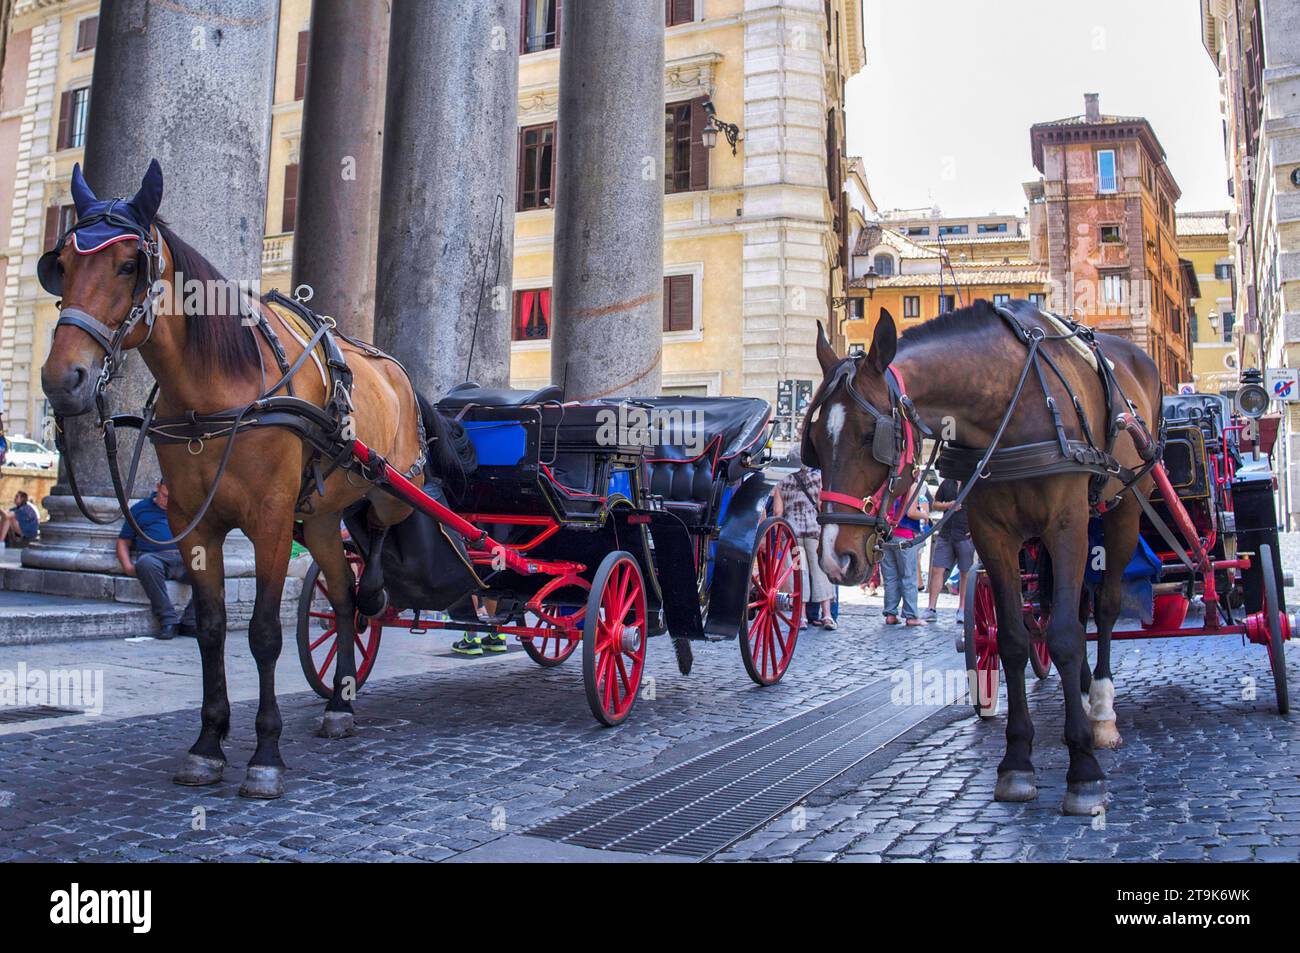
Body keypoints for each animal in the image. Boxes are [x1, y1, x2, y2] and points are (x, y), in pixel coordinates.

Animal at [38, 160, 458, 799]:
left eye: (129, 265)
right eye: (60, 264)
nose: (64, 378)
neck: (217, 392)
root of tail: (398, 372)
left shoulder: (270, 522)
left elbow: (262, 633)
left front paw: (265, 754)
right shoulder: (193, 524)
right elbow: (212, 630)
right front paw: (208, 744)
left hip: (388, 488)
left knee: (375, 551)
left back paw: (373, 595)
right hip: (321, 518)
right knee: (340, 599)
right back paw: (340, 702)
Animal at [803, 301, 1162, 815]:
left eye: (873, 435)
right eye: (813, 438)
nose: (836, 558)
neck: (1012, 406)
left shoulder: (1067, 522)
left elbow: (1065, 638)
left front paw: (1083, 770)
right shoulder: (991, 533)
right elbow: (1013, 640)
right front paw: (1016, 763)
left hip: (1125, 507)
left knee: (1106, 607)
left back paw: (1102, 710)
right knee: (1075, 609)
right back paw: (1083, 690)